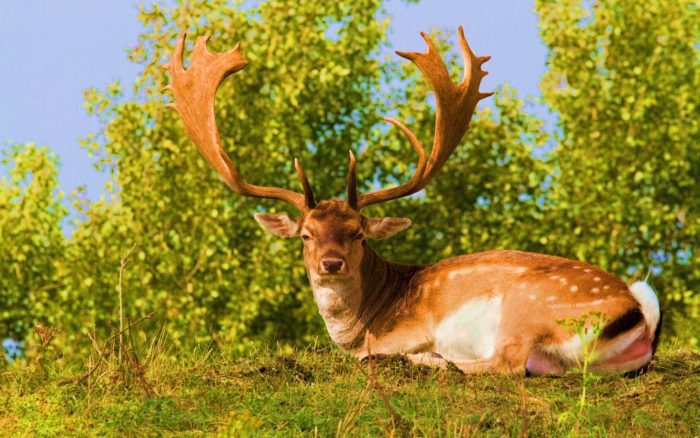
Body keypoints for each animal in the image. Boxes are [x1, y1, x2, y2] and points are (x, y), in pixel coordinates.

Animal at [164, 27, 662, 375]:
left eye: (358, 234)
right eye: (305, 234)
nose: (330, 263)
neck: (364, 321)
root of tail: (639, 312)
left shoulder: (409, 327)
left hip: (528, 306)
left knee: (508, 362)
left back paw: (428, 361)